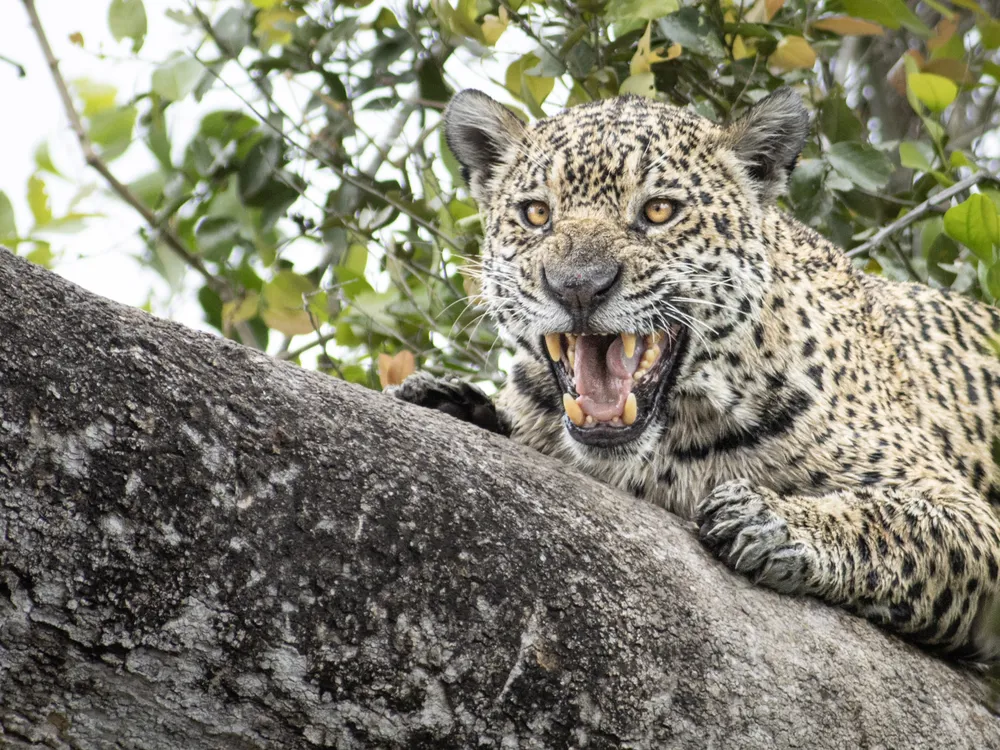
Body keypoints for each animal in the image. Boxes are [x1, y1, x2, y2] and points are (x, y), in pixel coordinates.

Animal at [393, 86, 1000, 660]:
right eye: (537, 214)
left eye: (659, 210)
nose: (578, 286)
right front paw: (446, 400)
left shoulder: (961, 508)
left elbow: (892, 519)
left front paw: (769, 519)